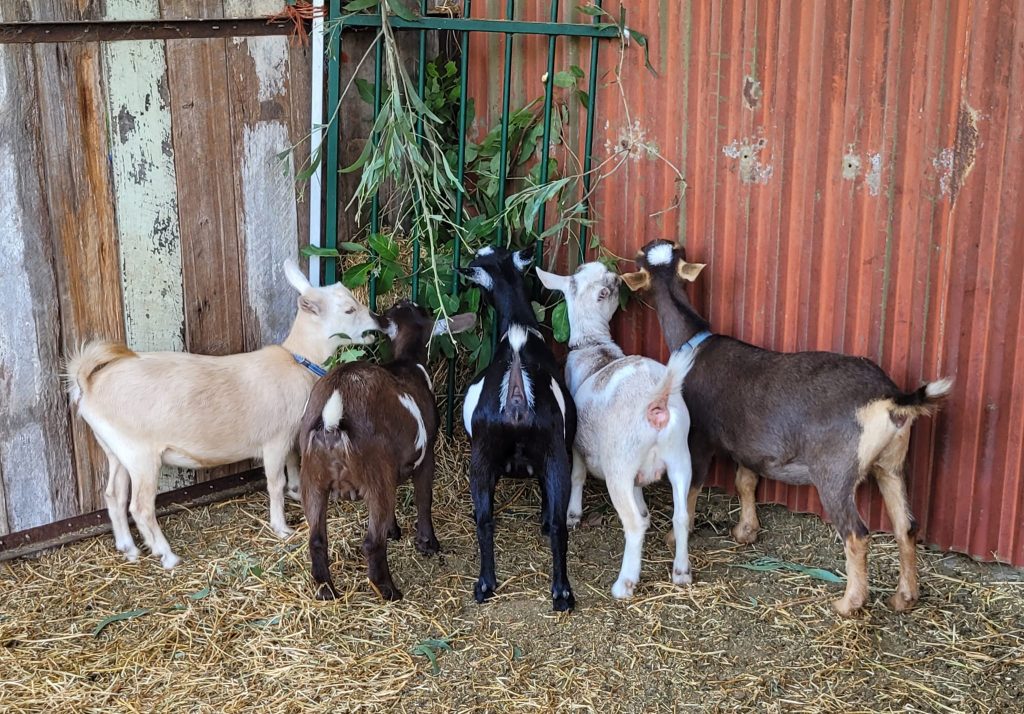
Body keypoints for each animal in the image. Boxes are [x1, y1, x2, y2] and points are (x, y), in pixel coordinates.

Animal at [65, 260, 381, 569]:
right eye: (349, 309)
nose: (377, 321)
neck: (298, 361)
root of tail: (89, 386)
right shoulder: (274, 440)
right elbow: (274, 483)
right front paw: (281, 528)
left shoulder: (289, 434)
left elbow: (294, 464)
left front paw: (294, 491)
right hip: (141, 455)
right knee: (140, 507)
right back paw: (166, 555)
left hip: (116, 451)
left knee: (114, 496)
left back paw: (129, 549)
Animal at [299, 300, 474, 600]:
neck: (407, 362)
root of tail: (333, 418)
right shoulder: (426, 453)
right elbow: (424, 497)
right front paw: (428, 543)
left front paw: (394, 530)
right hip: (374, 472)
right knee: (371, 542)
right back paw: (389, 590)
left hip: (312, 476)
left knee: (317, 538)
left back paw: (326, 591)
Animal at [460, 245, 578, 611]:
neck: (518, 328)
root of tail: (515, 397)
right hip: (555, 455)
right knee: (558, 523)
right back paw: (561, 593)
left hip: (481, 457)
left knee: (484, 519)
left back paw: (486, 585)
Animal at [537, 262, 697, 599]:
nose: (614, 274)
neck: (594, 346)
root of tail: (656, 405)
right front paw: (646, 508)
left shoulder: (578, 443)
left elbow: (577, 475)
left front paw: (573, 515)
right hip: (680, 456)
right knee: (681, 516)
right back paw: (681, 572)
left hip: (619, 464)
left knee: (634, 525)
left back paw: (625, 583)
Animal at [621, 239, 953, 616]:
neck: (693, 344)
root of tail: (892, 398)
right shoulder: (749, 446)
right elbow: (746, 482)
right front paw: (746, 531)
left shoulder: (699, 437)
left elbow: (692, 488)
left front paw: (675, 536)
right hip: (892, 464)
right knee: (905, 525)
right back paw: (904, 597)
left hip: (835, 470)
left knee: (856, 533)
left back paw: (848, 603)